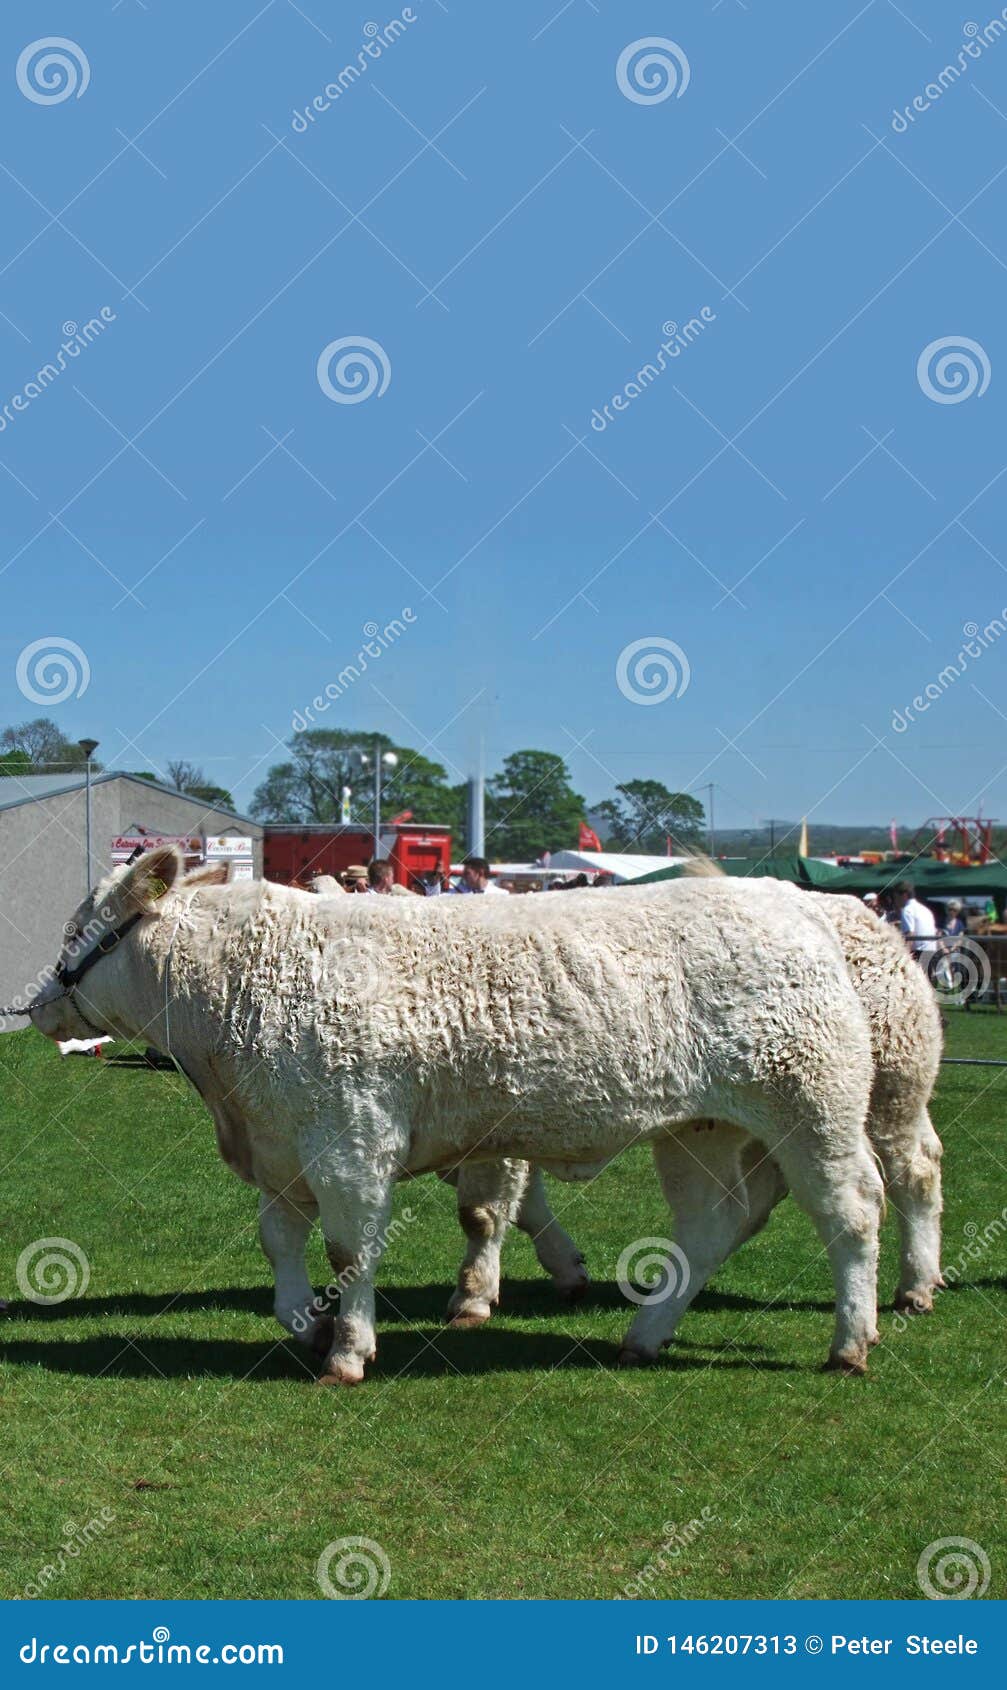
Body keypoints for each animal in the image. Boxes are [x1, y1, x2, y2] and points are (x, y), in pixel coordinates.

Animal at [31, 845, 884, 1384]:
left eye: (79, 927)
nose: (36, 1002)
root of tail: (789, 902)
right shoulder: (279, 1146)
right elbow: (279, 1242)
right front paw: (304, 1323)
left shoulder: (351, 1140)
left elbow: (350, 1250)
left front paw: (347, 1352)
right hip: (697, 1130)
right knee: (710, 1225)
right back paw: (643, 1336)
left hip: (813, 1109)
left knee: (850, 1214)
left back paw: (849, 1342)